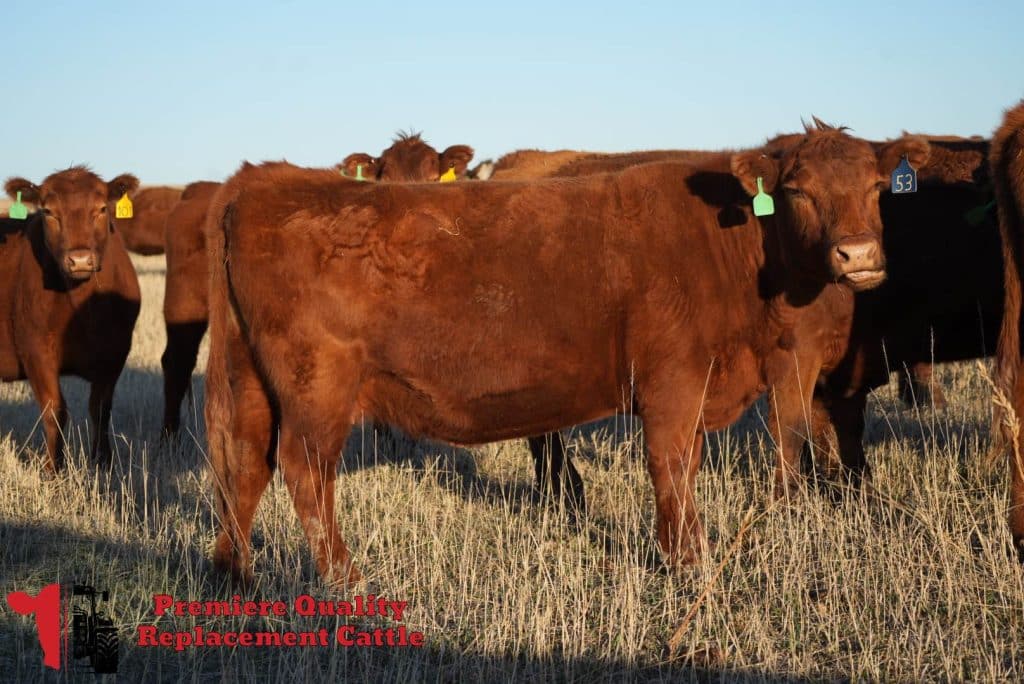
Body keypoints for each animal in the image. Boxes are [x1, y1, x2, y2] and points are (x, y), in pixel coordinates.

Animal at [1, 167, 141, 472]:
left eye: (102, 209)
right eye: (48, 212)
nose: (79, 260)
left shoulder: (115, 352)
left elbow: (100, 410)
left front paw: (103, 464)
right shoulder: (35, 350)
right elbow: (55, 410)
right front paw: (54, 470)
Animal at [202, 121, 929, 587]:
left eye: (876, 186)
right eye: (799, 190)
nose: (859, 256)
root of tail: (260, 182)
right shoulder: (673, 379)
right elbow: (671, 466)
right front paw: (688, 564)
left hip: (250, 378)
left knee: (244, 463)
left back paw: (234, 572)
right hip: (316, 385)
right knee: (303, 472)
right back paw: (345, 581)